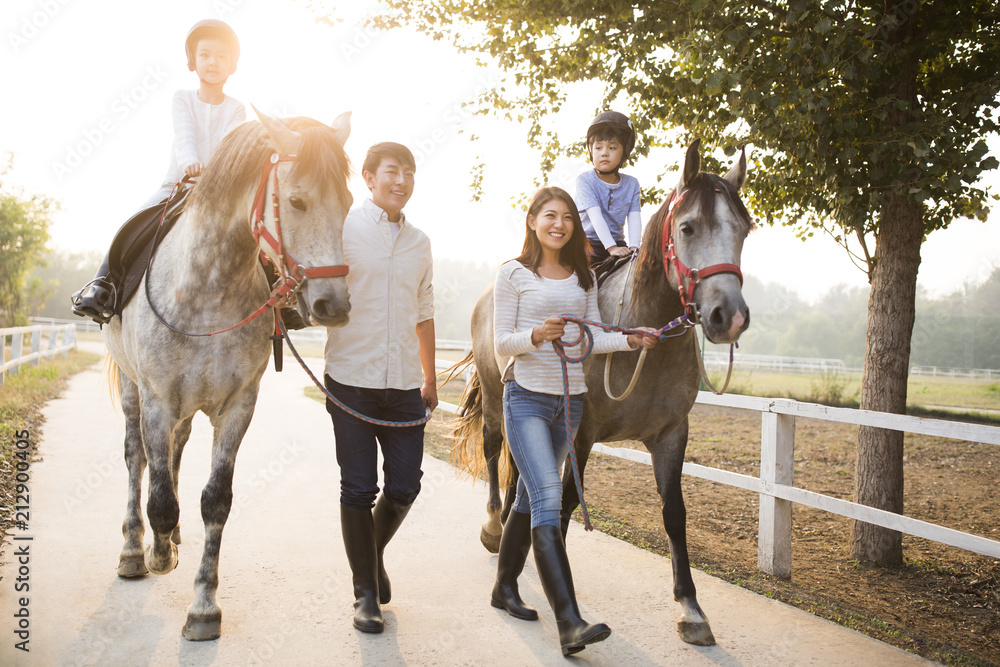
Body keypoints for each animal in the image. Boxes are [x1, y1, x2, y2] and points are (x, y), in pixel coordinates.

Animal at [102, 110, 353, 641]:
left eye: (346, 203)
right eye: (297, 200)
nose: (334, 306)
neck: (208, 290)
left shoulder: (238, 406)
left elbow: (215, 501)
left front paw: (203, 606)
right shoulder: (157, 400)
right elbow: (159, 496)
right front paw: (158, 555)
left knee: (174, 453)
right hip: (135, 393)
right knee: (138, 460)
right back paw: (135, 549)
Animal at [448, 140, 752, 646]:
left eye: (744, 230)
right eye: (687, 227)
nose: (728, 317)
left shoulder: (672, 435)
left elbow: (674, 514)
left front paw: (691, 609)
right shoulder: (581, 431)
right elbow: (567, 503)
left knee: (520, 475)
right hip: (495, 400)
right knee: (494, 451)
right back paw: (493, 526)